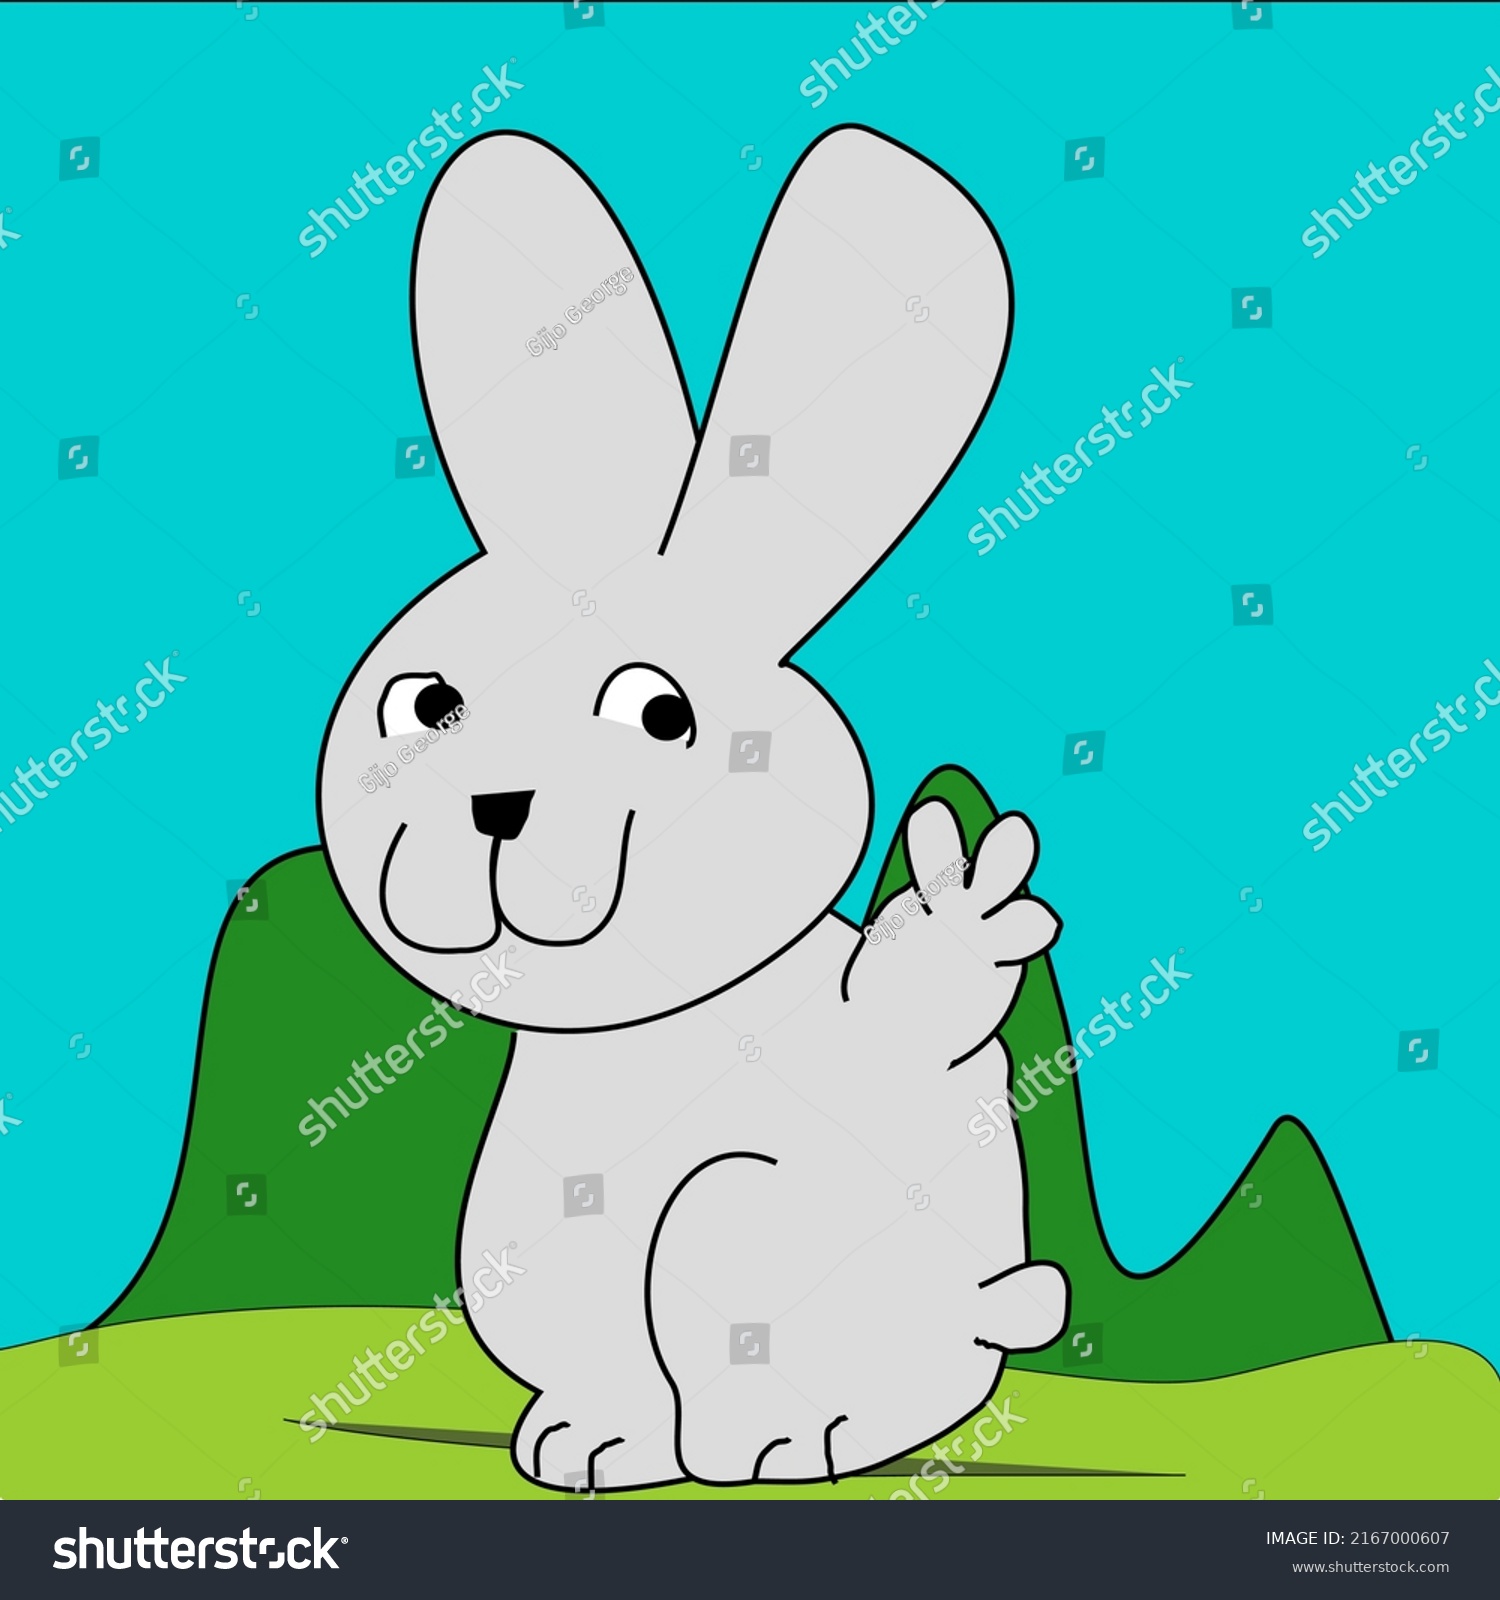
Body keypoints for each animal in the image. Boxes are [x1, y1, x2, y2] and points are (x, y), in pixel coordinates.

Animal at [317, 124, 1068, 1492]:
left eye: (662, 716)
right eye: (426, 703)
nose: (497, 801)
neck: (651, 1032)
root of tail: (988, 1313)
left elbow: (910, 1018)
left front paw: (956, 911)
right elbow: (606, 1371)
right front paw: (591, 1446)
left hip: (751, 1228)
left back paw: (792, 1443)